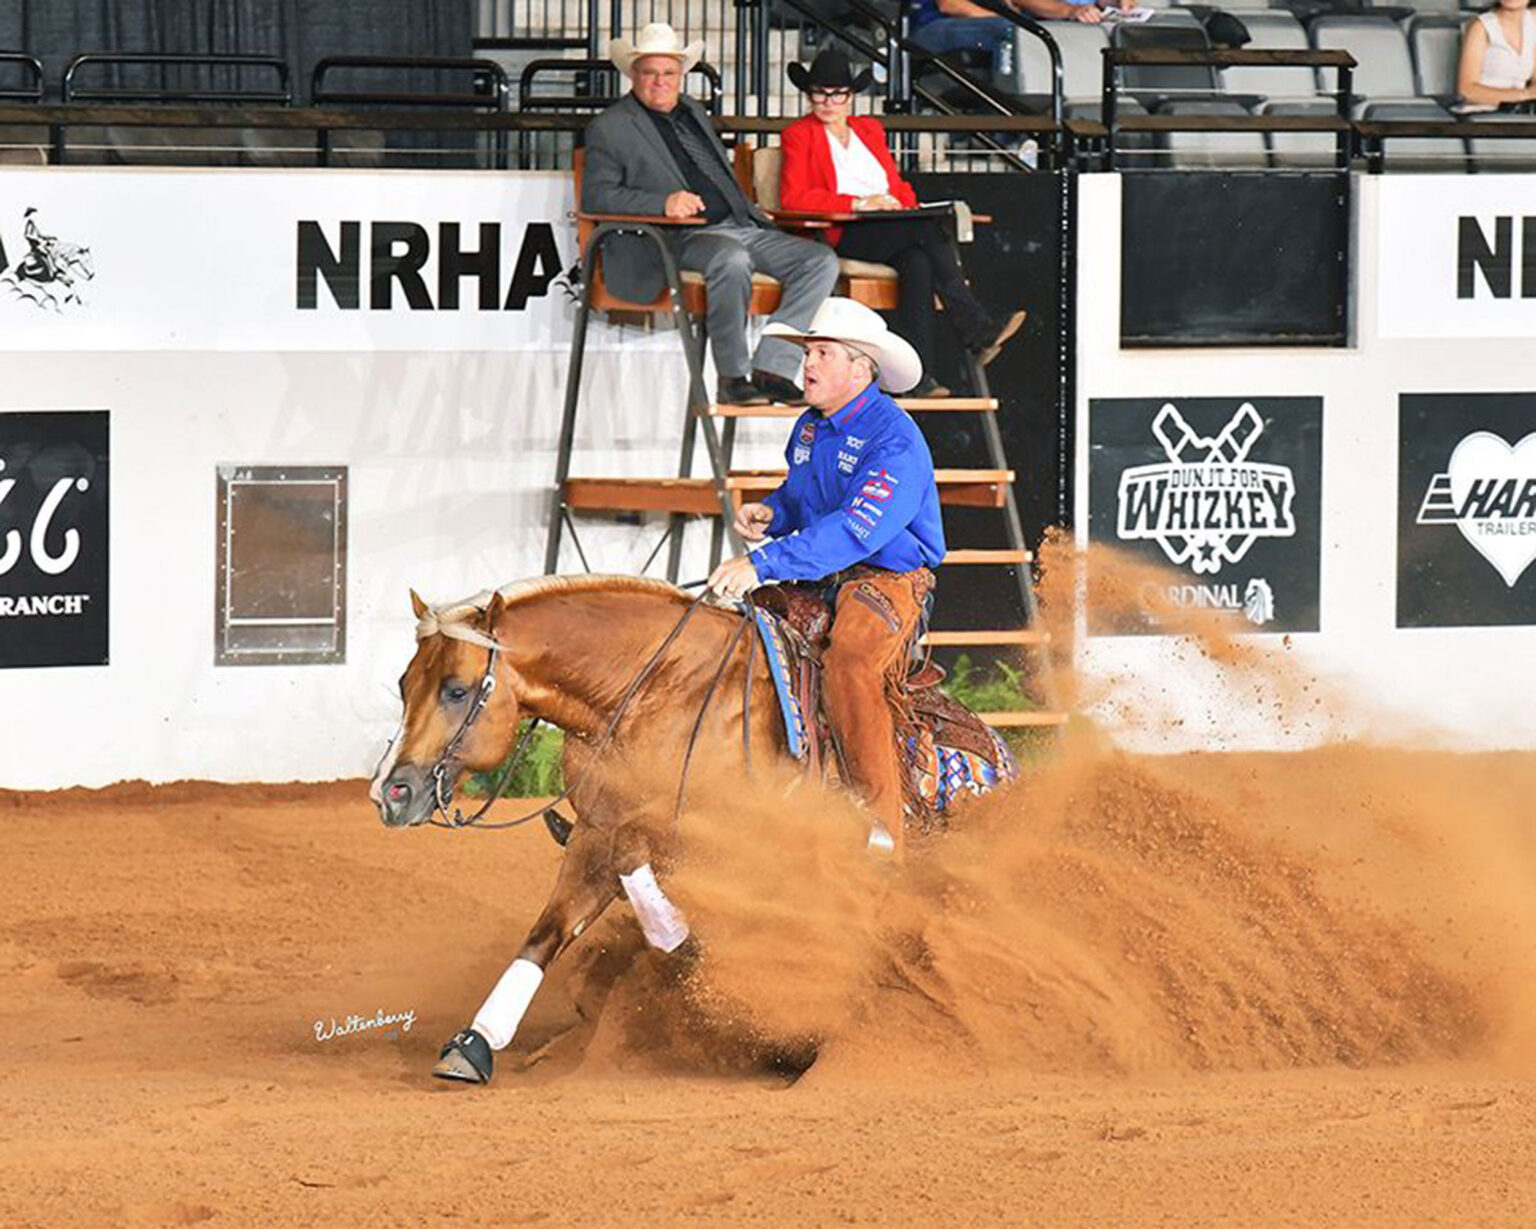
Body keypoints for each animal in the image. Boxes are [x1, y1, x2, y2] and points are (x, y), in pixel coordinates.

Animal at [370, 574, 1014, 1085]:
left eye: (456, 690)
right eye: (403, 684)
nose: (390, 791)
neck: (660, 692)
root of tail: (997, 754)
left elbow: (642, 858)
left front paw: (682, 940)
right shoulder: (594, 832)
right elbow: (549, 930)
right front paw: (475, 1044)